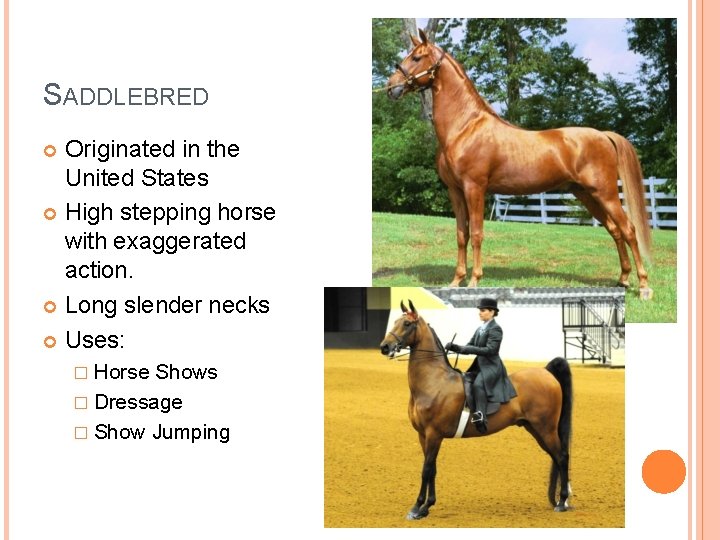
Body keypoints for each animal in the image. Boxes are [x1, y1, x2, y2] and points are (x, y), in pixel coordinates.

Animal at [379, 299, 573, 520]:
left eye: (407, 324)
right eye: (395, 321)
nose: (385, 347)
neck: (434, 382)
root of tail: (546, 373)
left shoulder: (434, 434)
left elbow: (426, 469)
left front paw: (417, 508)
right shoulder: (423, 435)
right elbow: (433, 469)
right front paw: (427, 506)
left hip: (545, 428)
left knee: (562, 456)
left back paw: (562, 502)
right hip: (535, 428)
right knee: (556, 457)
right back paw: (561, 500)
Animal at [386, 30, 653, 299]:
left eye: (417, 57)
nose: (391, 87)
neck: (464, 127)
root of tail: (604, 135)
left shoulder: (475, 189)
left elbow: (477, 234)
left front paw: (474, 281)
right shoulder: (455, 191)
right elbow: (462, 234)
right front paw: (456, 281)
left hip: (605, 193)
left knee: (629, 230)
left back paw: (643, 286)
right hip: (587, 195)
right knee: (615, 230)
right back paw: (622, 279)